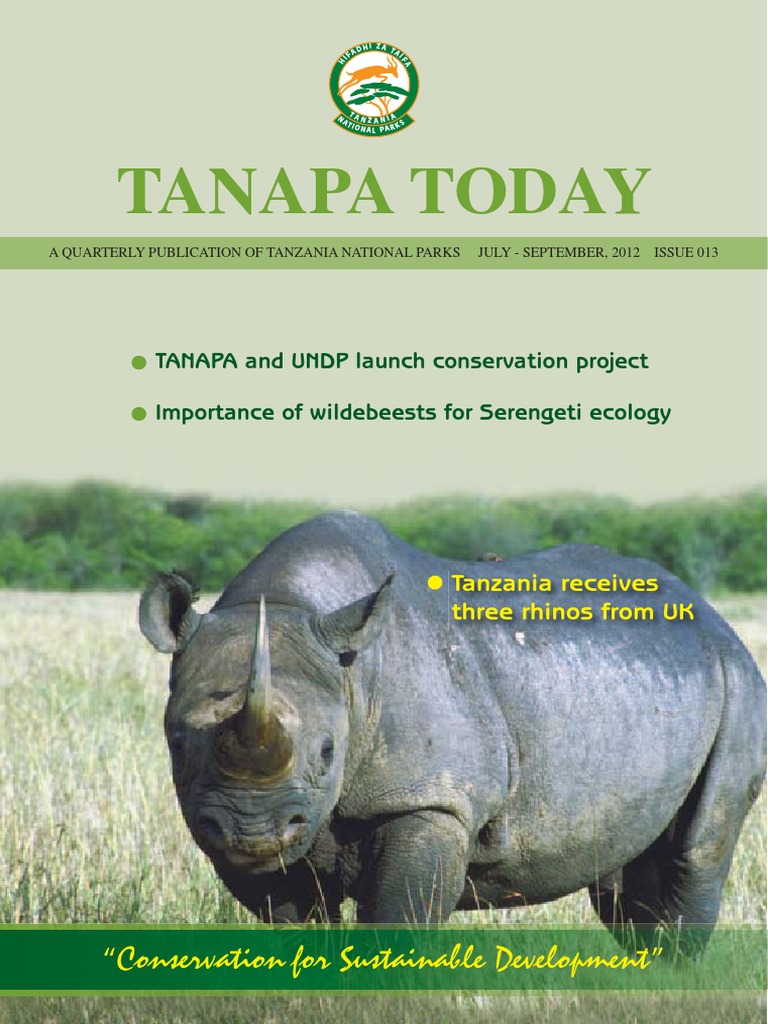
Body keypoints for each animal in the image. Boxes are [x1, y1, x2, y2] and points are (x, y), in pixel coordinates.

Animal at [139, 511, 765, 943]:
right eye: (177, 745)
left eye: (327, 751)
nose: (253, 832)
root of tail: (709, 613)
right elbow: (294, 921)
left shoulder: (432, 798)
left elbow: (399, 922)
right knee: (625, 880)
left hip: (737, 680)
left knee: (695, 853)